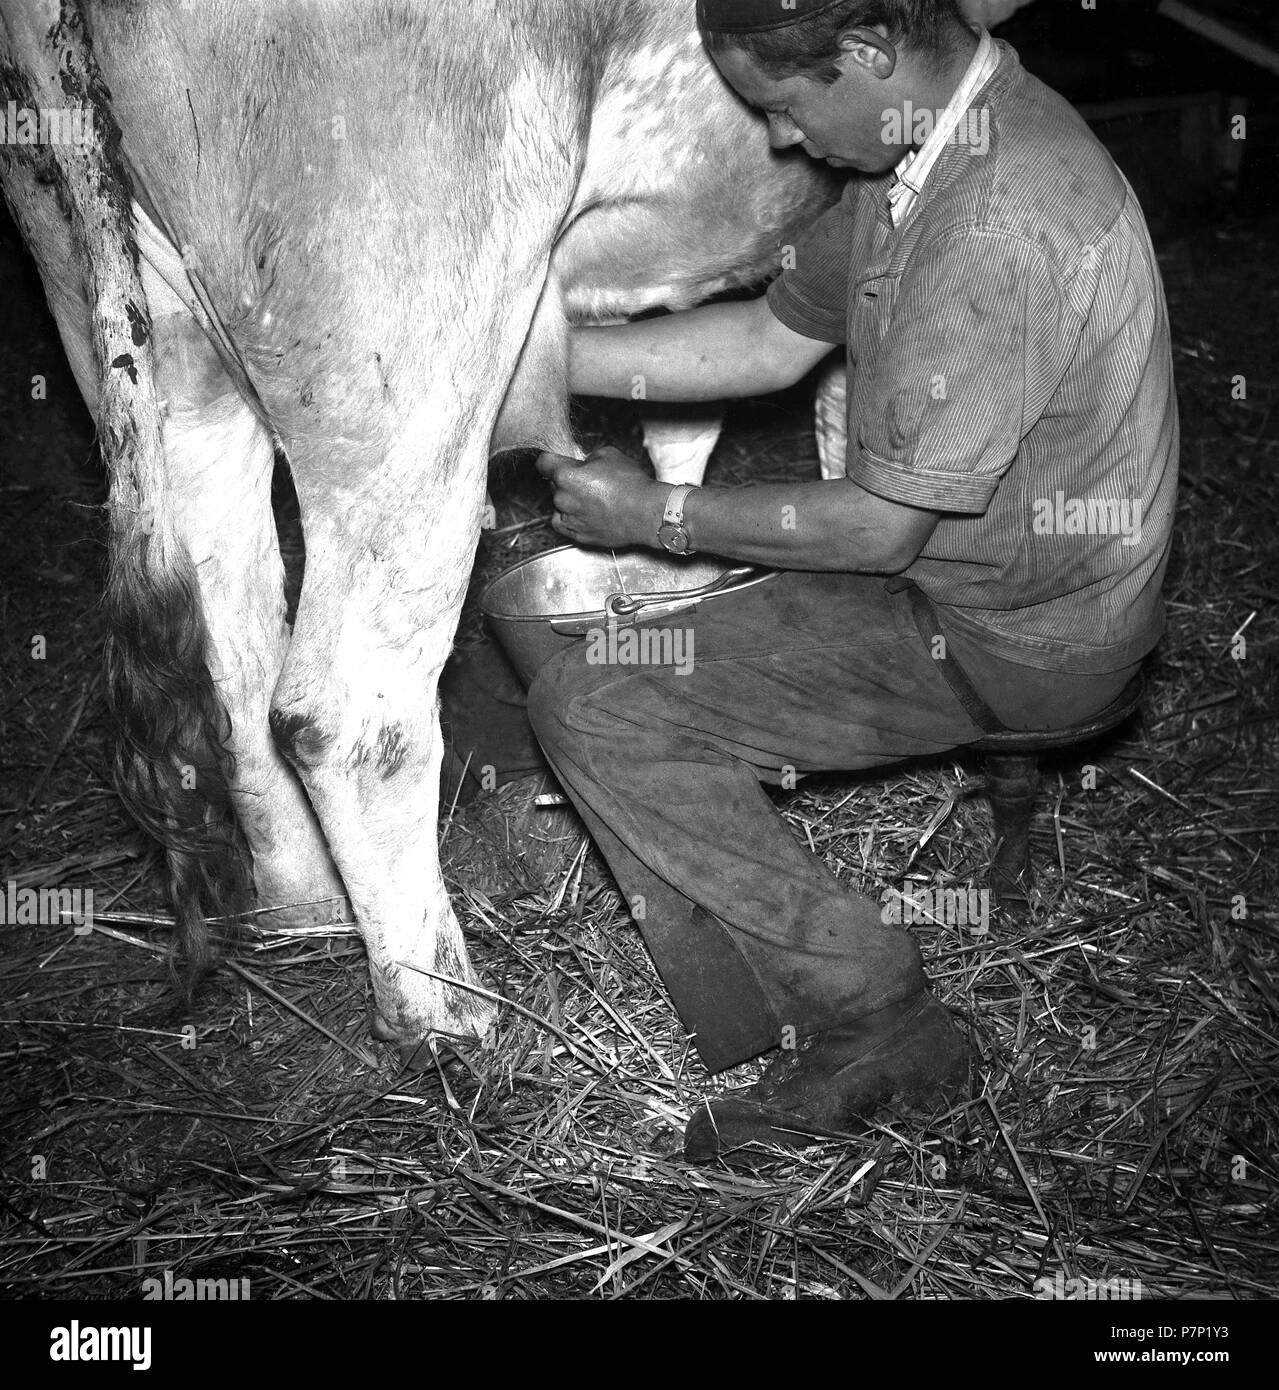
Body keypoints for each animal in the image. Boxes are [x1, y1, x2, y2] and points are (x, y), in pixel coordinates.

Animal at [0, 0, 842, 1056]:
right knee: (346, 707)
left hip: (145, 335)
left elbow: (696, 414)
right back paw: (447, 1012)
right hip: (412, 323)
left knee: (234, 654)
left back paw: (308, 910)